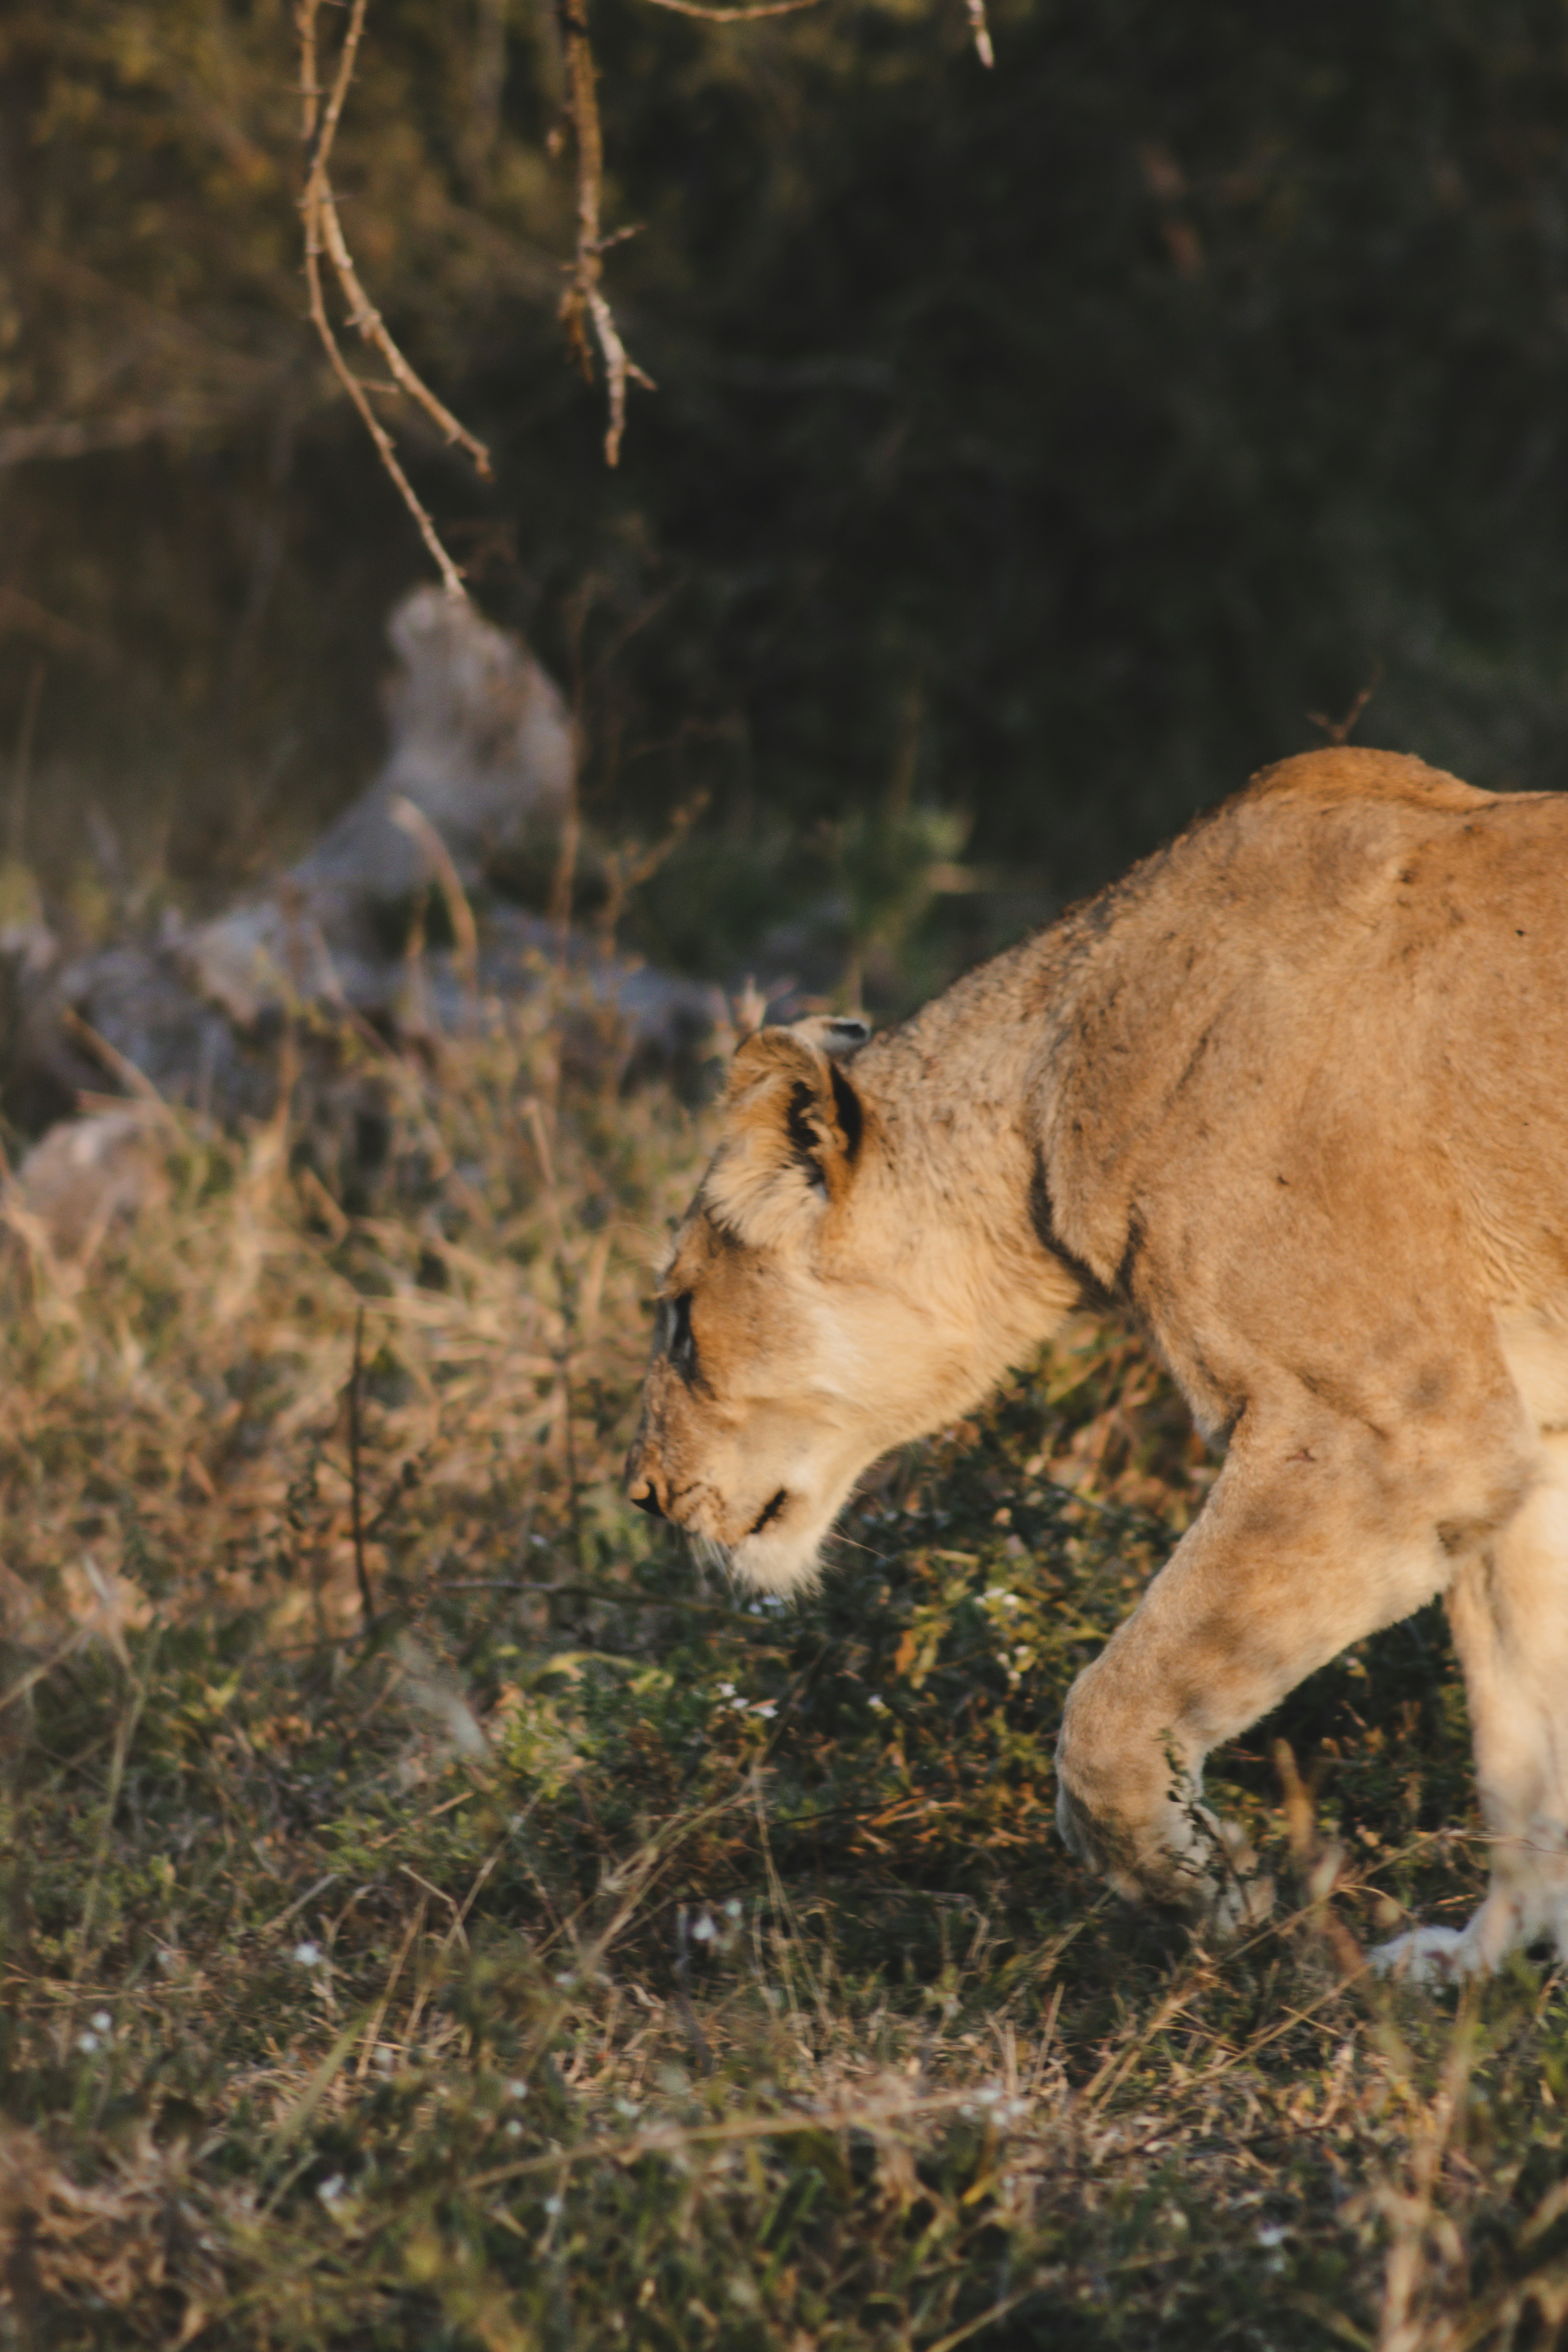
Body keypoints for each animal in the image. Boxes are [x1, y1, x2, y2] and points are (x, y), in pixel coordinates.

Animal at [625, 746, 1568, 1980]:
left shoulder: (1397, 1429)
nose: (642, 1493)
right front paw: (1488, 1963)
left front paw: (1210, 1891)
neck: (1047, 1082)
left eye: (682, 1321)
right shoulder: (1522, 1437)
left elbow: (1111, 1710)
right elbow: (1523, 1725)